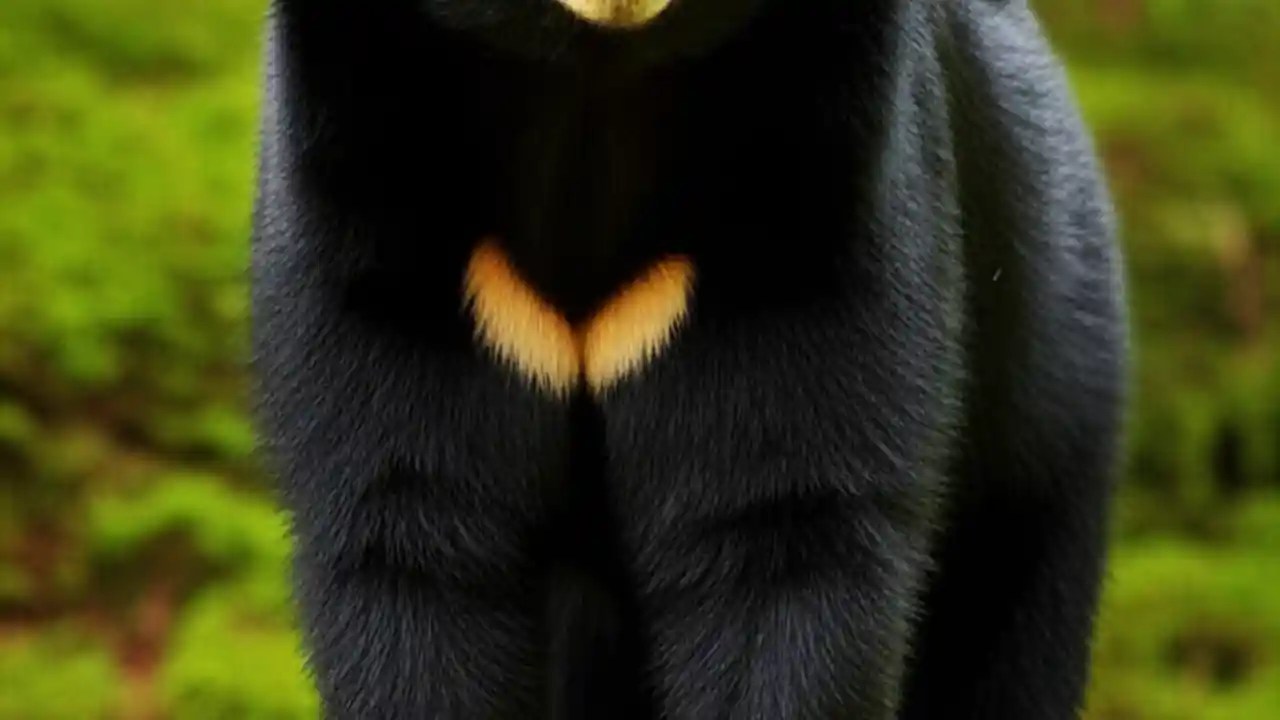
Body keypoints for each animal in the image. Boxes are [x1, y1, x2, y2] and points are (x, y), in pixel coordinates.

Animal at [250, 0, 1128, 718]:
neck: (592, 79)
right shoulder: (376, 210)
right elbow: (412, 528)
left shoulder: (823, 189)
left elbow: (783, 532)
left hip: (1043, 426)